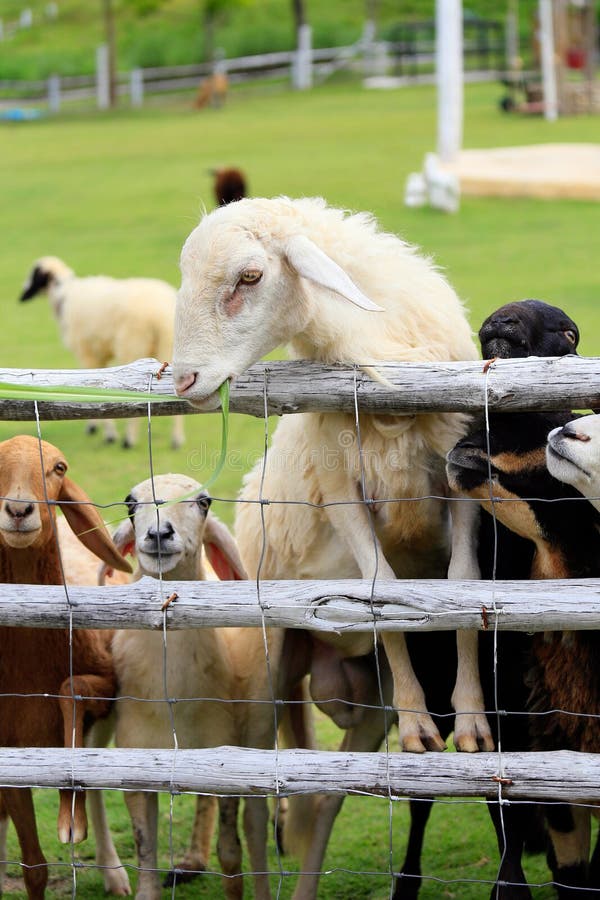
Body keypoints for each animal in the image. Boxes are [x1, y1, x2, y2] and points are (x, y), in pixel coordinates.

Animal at [0, 434, 133, 899]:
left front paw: (69, 817)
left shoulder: (107, 686)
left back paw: (113, 870)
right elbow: (34, 868)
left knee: (97, 789)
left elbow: (69, 688)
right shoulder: (9, 756)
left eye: (59, 468)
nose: (18, 511)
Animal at [19, 256, 185, 450]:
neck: (64, 295)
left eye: (34, 274)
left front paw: (107, 433)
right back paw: (176, 440)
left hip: (133, 346)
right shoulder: (100, 354)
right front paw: (95, 426)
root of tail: (160, 315)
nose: (22, 295)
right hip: (169, 344)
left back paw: (128, 440)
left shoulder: (87, 352)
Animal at [104, 473, 309, 900]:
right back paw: (191, 861)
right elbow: (145, 852)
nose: (159, 533)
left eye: (204, 502)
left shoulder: (226, 756)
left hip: (257, 729)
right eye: (130, 503)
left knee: (254, 824)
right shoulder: (134, 763)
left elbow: (231, 853)